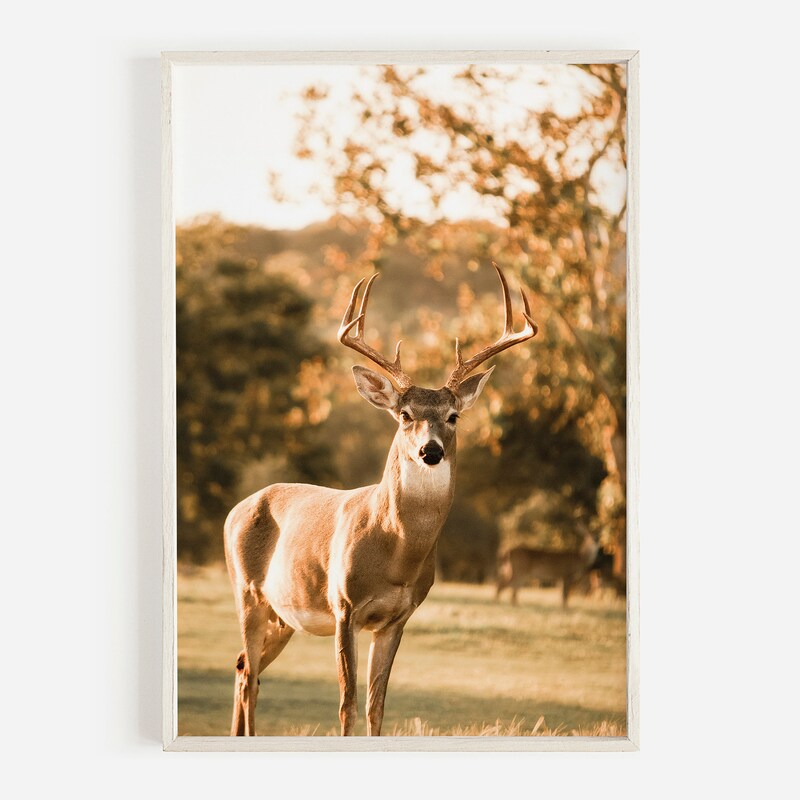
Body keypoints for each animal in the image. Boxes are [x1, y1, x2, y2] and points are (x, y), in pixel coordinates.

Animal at [223, 262, 537, 736]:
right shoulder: (344, 606)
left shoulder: (397, 618)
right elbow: (347, 704)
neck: (395, 552)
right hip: (247, 593)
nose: (430, 451)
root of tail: (236, 510)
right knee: (248, 674)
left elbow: (376, 706)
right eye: (404, 415)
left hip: (283, 614)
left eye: (453, 416)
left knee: (245, 668)